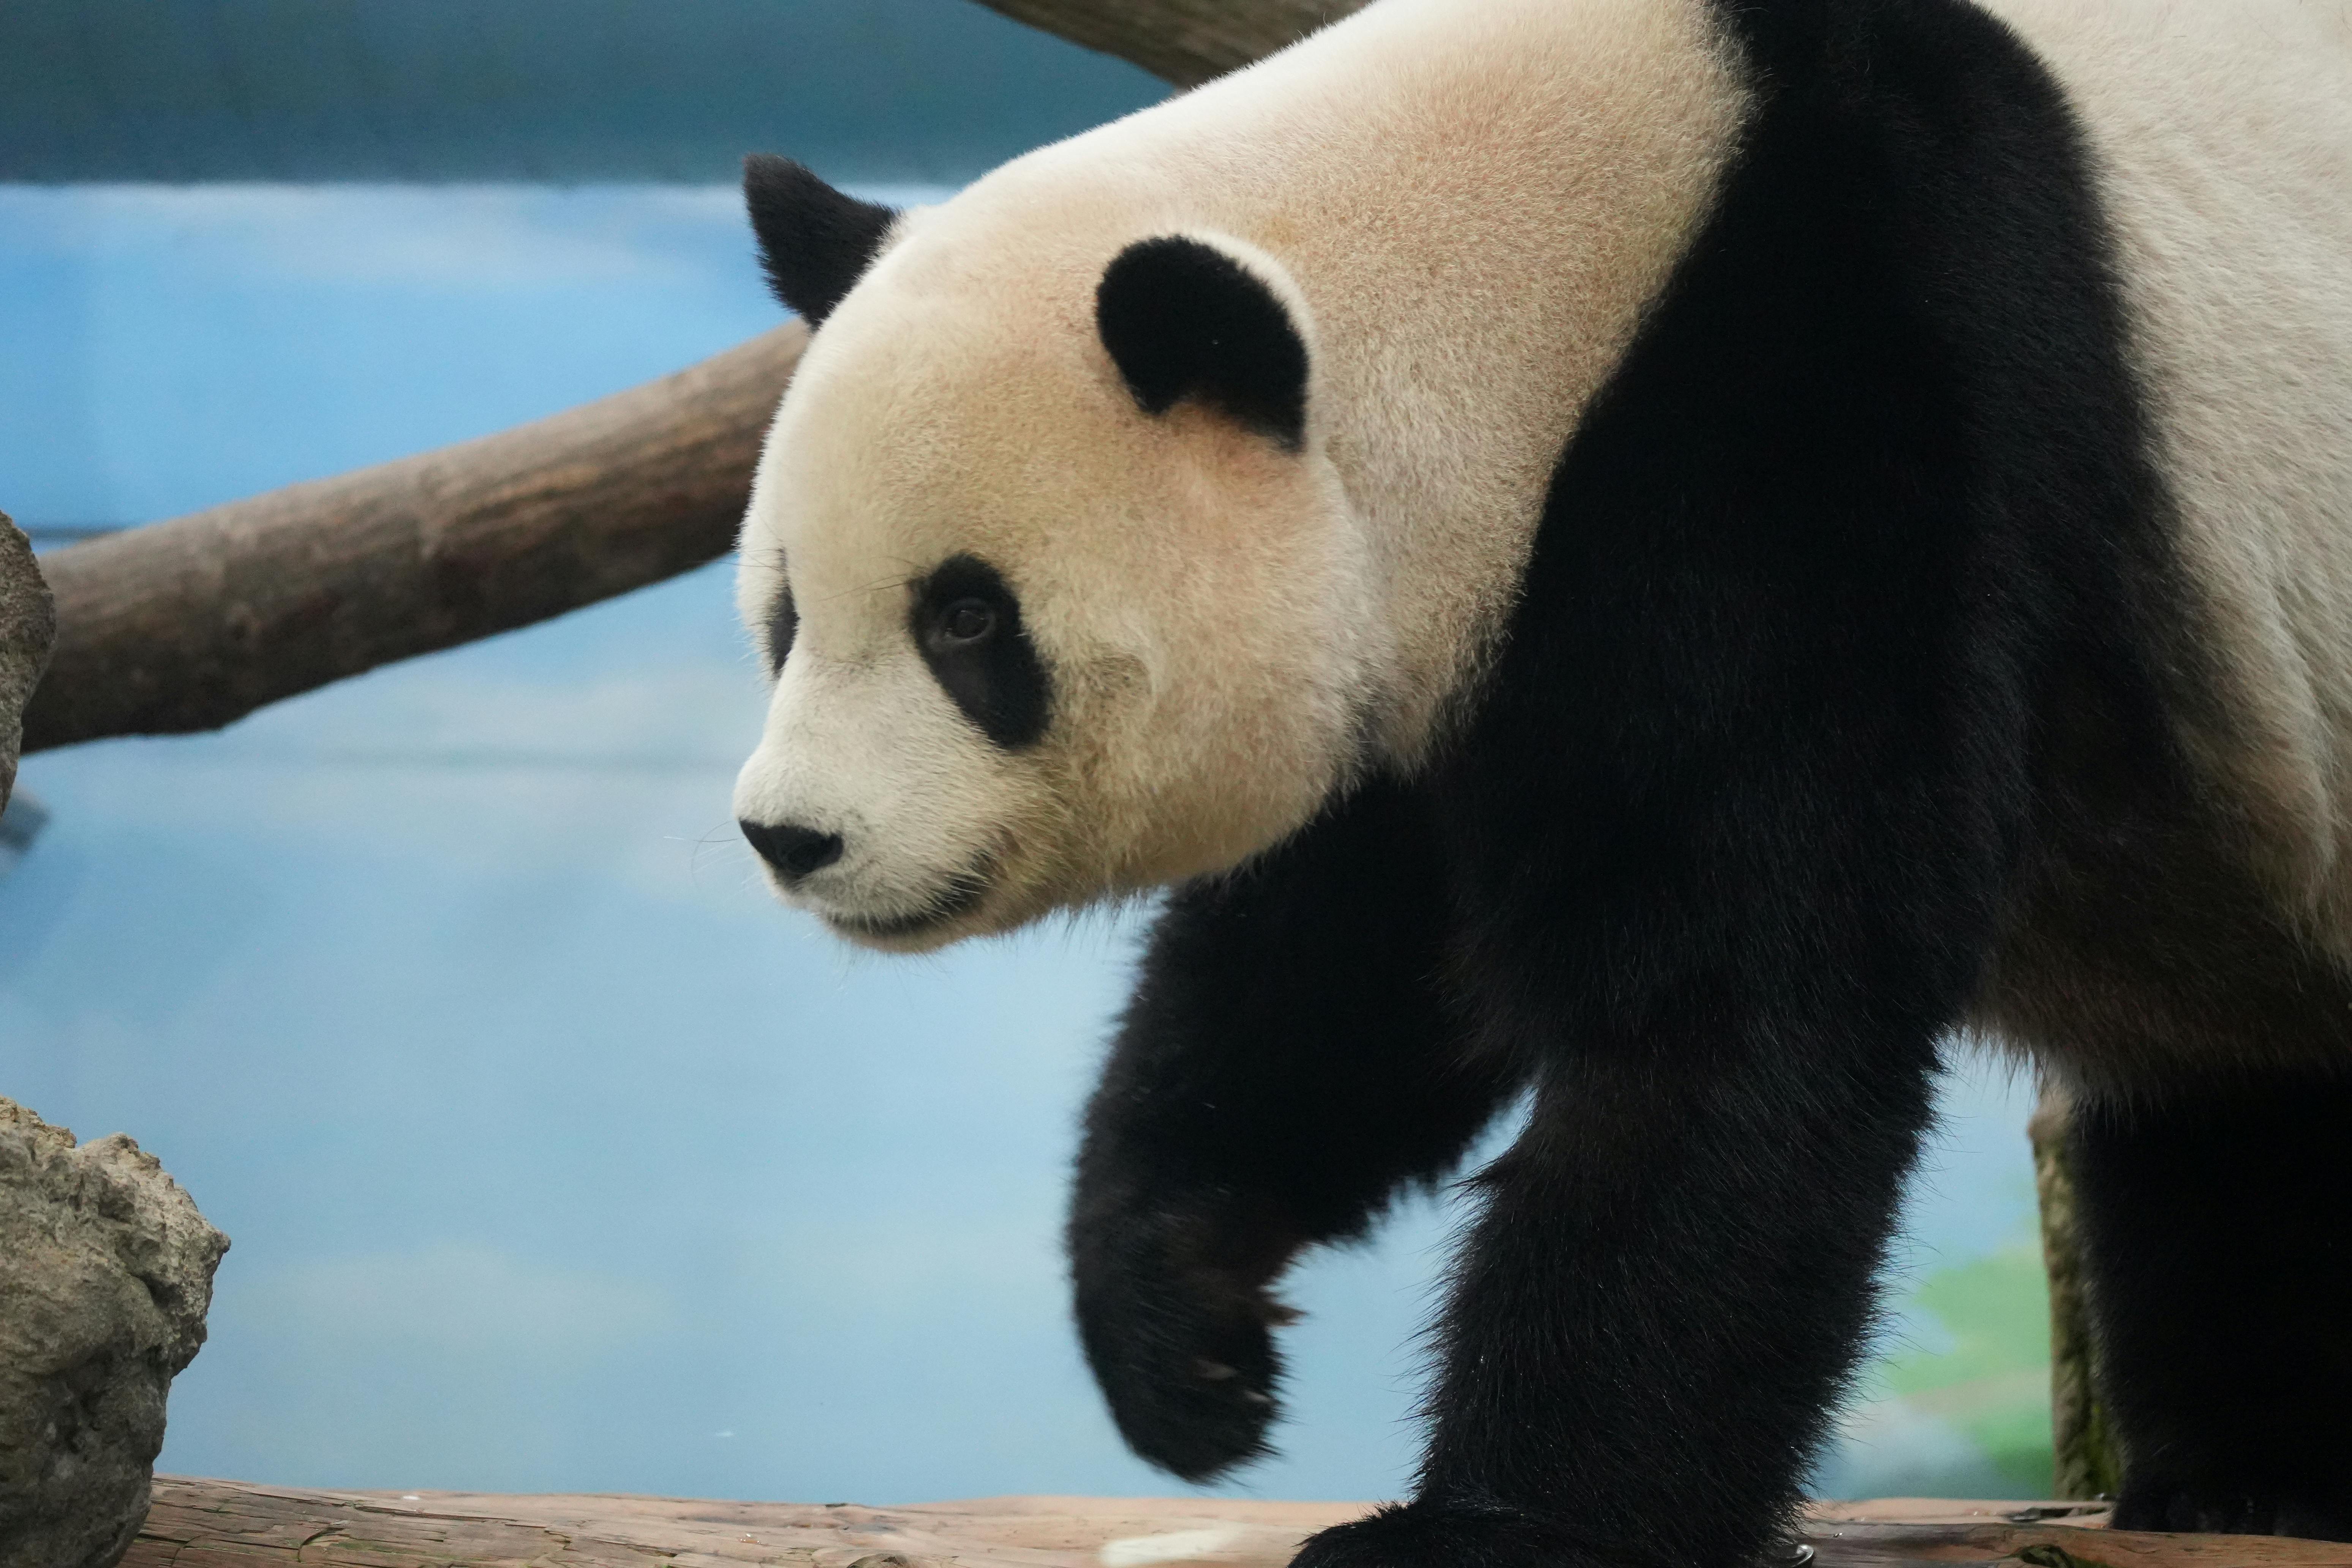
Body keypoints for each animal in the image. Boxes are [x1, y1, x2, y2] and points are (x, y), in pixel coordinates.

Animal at [728, 0, 2352, 1557]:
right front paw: (1183, 1327)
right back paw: (2246, 1476)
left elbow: (1731, 1012)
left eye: (966, 619)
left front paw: (1483, 1529)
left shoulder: (1837, 387)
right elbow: (1347, 967)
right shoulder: (1449, 651)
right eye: (786, 611)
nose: (788, 837)